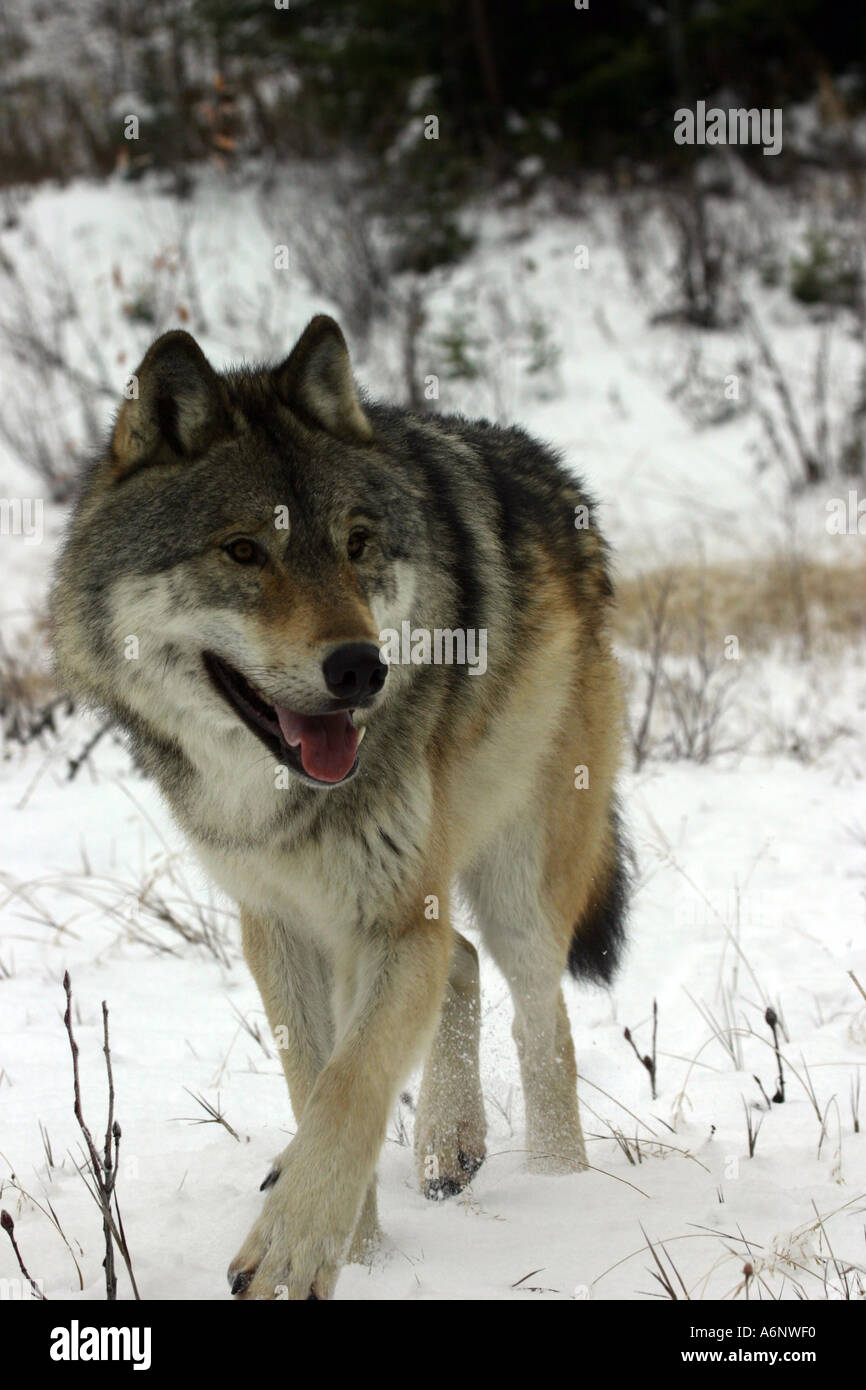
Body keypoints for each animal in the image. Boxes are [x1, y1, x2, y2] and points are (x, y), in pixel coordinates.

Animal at [52, 314, 629, 1299]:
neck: (284, 801)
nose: (363, 669)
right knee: (462, 959)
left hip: (520, 877)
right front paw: (359, 1256)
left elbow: (350, 1087)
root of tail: (561, 480)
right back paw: (449, 1146)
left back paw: (564, 1189)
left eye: (357, 545)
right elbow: (315, 1079)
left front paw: (292, 1246)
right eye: (244, 551)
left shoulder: (385, 917)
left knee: (539, 1016)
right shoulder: (278, 920)